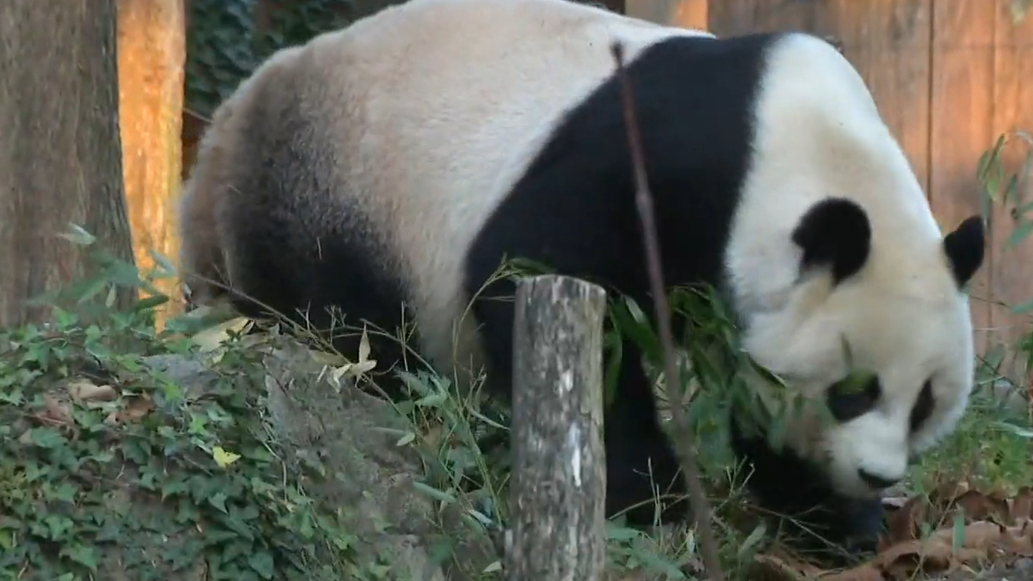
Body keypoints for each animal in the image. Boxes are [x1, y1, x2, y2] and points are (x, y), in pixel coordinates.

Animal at [178, 0, 986, 558]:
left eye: (923, 403)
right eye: (856, 391)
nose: (878, 475)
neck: (794, 141)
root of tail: (213, 150)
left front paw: (833, 516)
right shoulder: (655, 153)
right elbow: (532, 269)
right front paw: (647, 491)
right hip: (331, 191)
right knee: (353, 320)